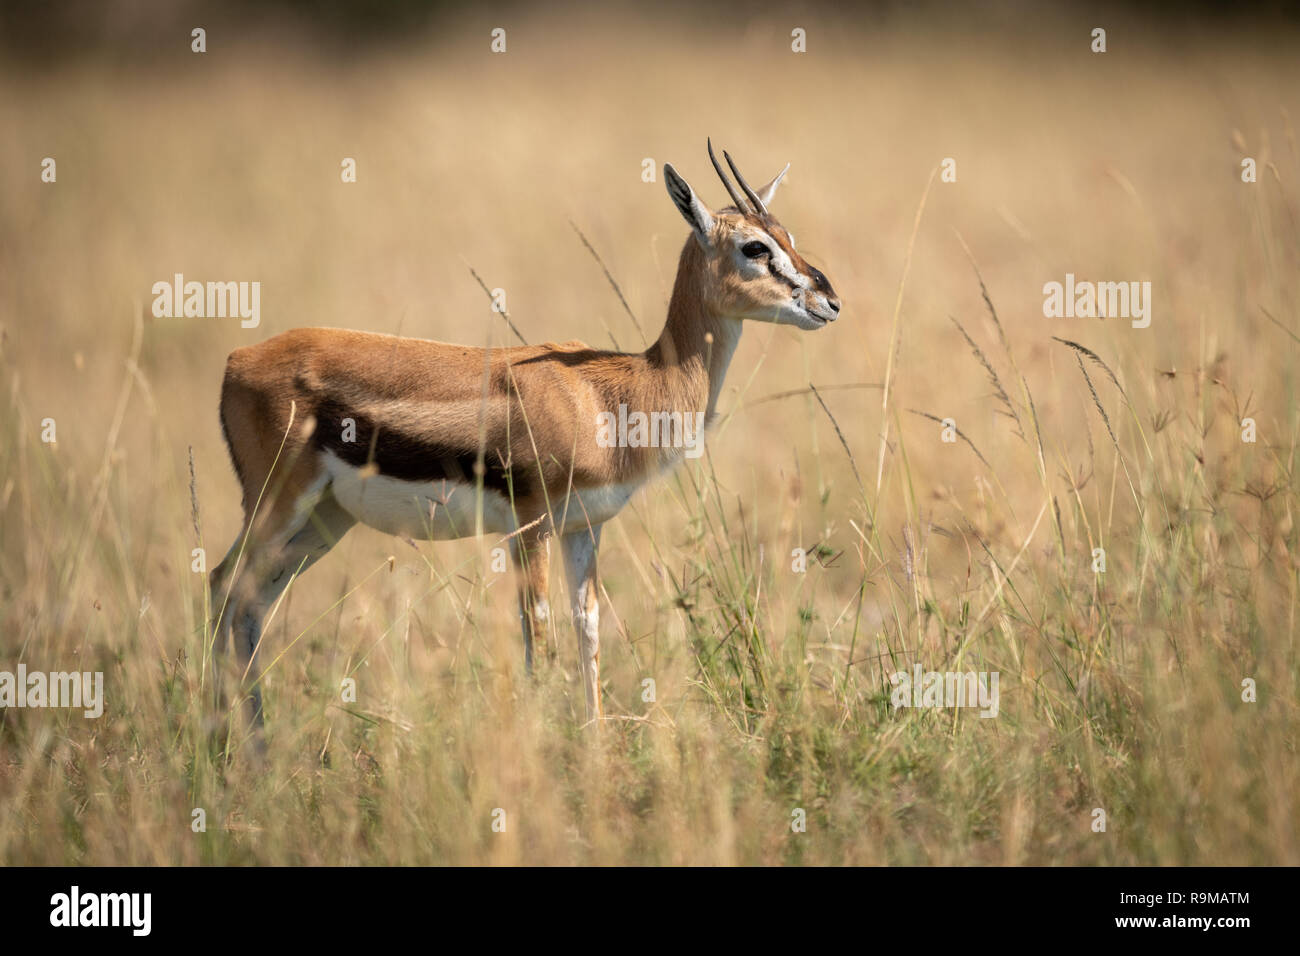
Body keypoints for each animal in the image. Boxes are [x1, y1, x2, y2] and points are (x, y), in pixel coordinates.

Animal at [208, 142, 840, 732]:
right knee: (223, 586)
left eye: (788, 236)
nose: (828, 301)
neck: (608, 394)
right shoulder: (530, 524)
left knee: (250, 604)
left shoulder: (583, 527)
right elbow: (539, 632)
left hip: (323, 521)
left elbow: (587, 631)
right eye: (755, 248)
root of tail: (237, 359)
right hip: (278, 504)